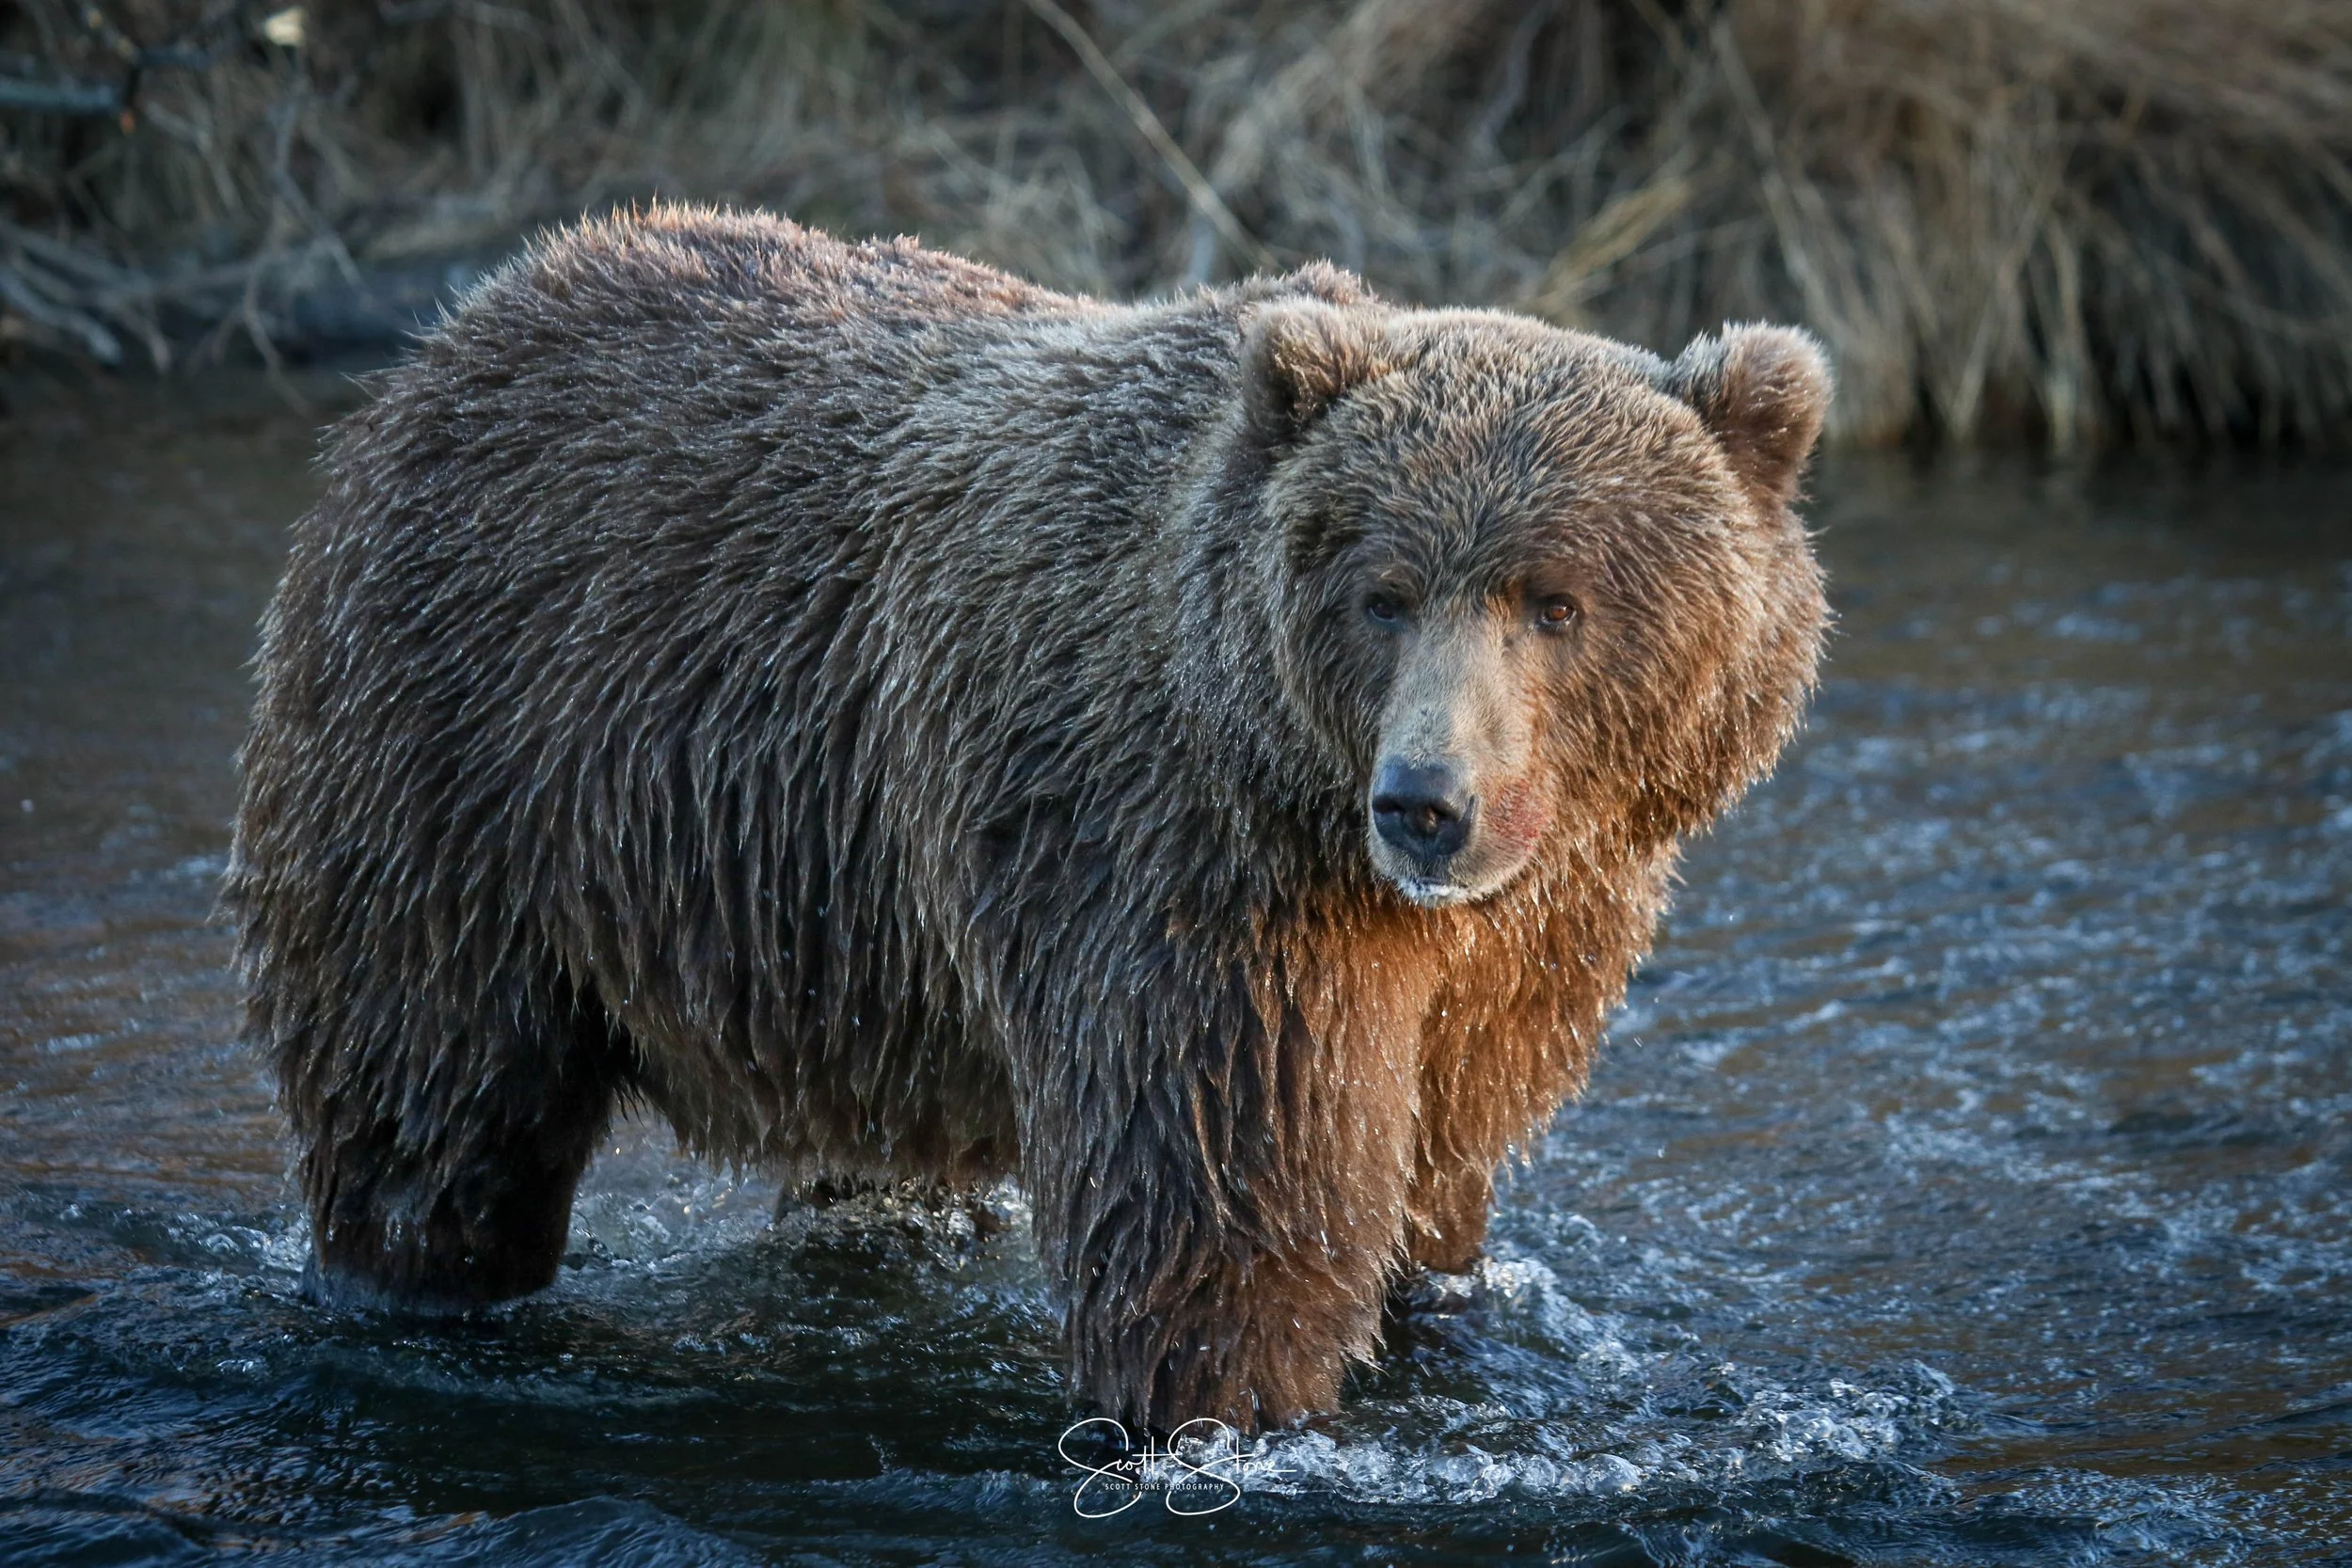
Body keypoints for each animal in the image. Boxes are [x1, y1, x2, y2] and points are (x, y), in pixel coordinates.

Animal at [227, 203, 1829, 1433]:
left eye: (1555, 598)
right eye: (1383, 591)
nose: (1428, 803)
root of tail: (463, 324)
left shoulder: (1527, 946)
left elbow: (1436, 1175)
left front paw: (1431, 1303)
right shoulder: (1180, 867)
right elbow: (1223, 1198)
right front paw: (1230, 1406)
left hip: (825, 932)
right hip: (464, 751)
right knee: (434, 1094)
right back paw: (420, 1283)